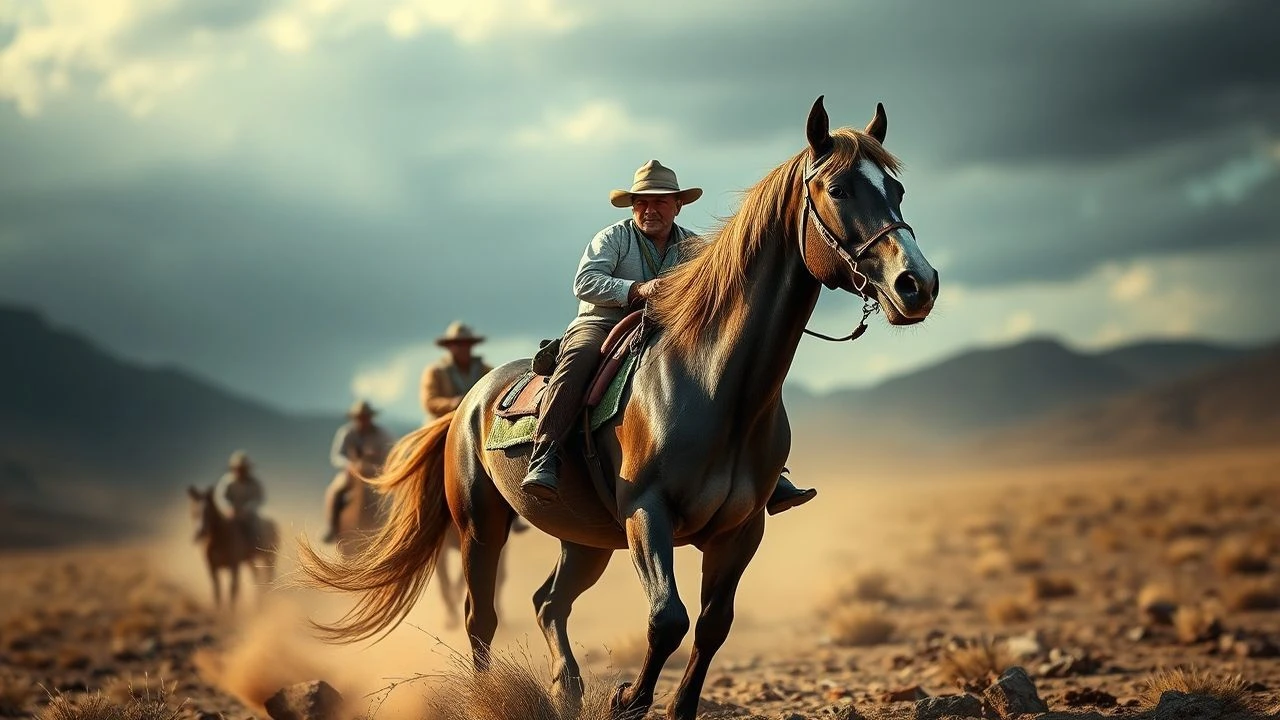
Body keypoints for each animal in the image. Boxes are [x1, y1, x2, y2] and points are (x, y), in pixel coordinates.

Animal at [297, 96, 939, 720]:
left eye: (897, 188)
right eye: (838, 189)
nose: (918, 284)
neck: (716, 385)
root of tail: (469, 404)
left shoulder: (742, 528)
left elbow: (713, 625)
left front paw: (670, 706)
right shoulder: (646, 513)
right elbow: (667, 618)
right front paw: (628, 700)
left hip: (584, 539)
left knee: (548, 603)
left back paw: (567, 688)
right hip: (482, 526)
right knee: (482, 617)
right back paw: (492, 694)